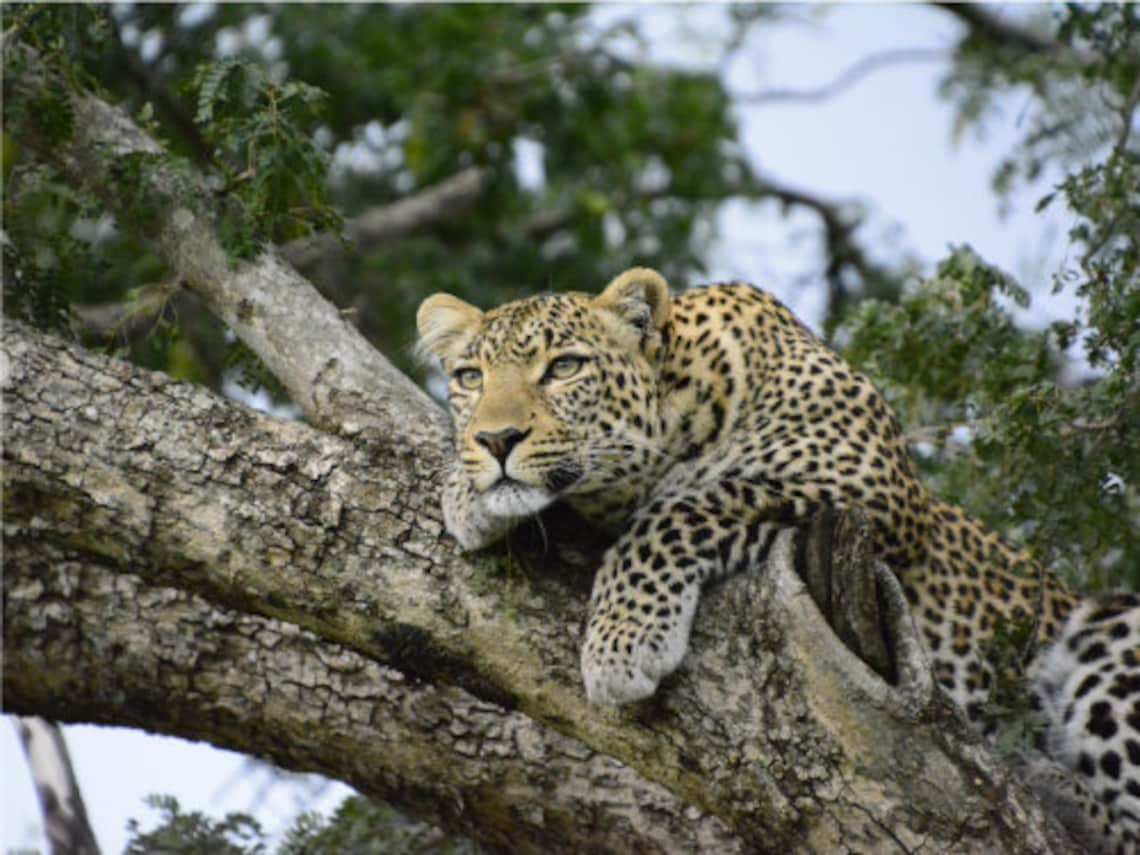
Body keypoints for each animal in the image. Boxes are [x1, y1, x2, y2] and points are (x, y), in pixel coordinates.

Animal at [417, 267, 1140, 853]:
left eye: (564, 367)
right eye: (469, 379)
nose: (496, 438)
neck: (687, 397)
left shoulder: (867, 488)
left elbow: (688, 506)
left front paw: (624, 641)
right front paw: (466, 490)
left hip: (1113, 632)